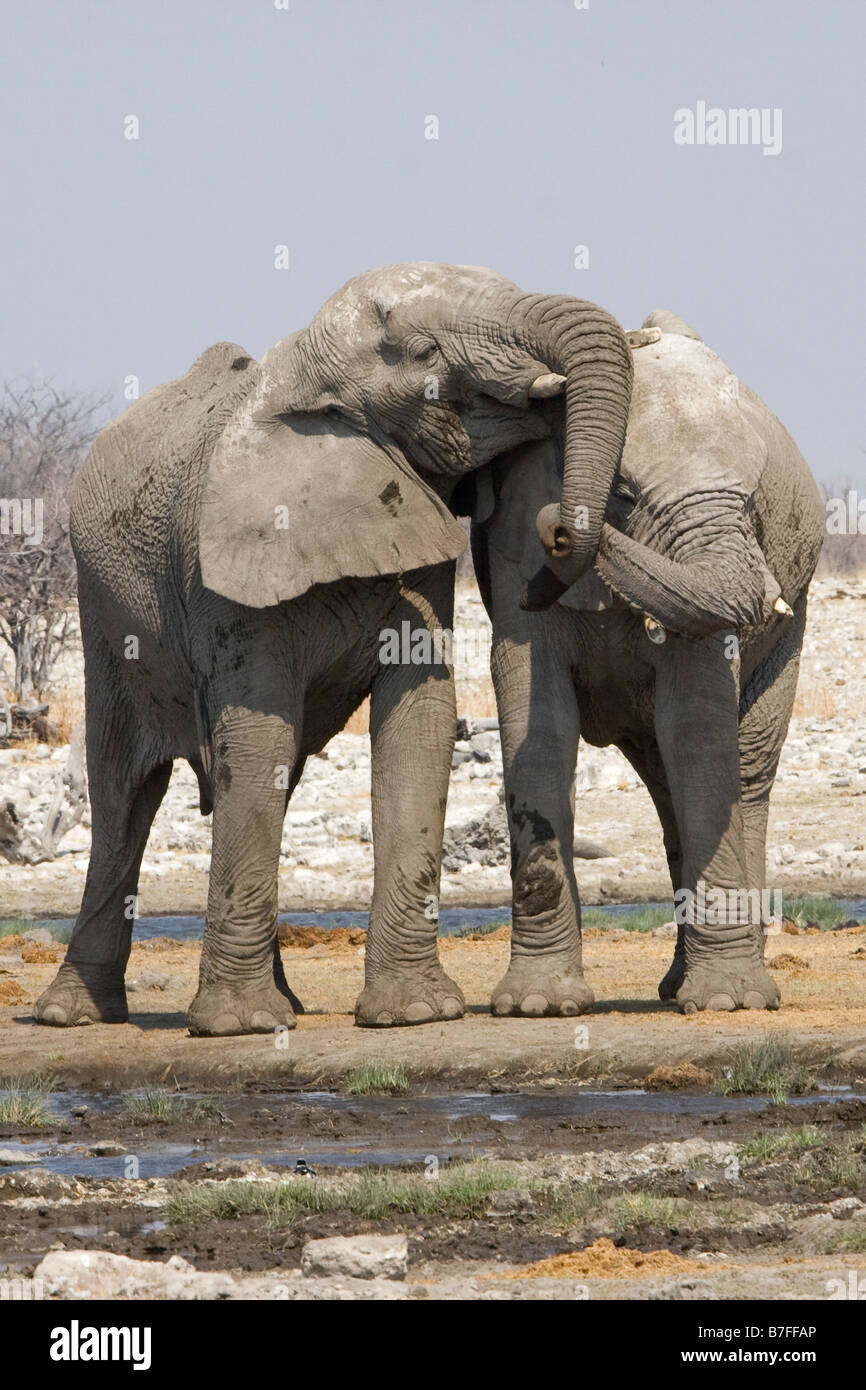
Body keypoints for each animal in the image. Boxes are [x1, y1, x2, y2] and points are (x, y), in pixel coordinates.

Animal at [34, 262, 633, 1034]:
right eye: (420, 353)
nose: (554, 532)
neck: (299, 377)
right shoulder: (227, 571)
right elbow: (254, 734)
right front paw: (239, 1029)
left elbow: (419, 720)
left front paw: (414, 1016)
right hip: (101, 617)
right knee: (122, 795)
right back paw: (74, 1016)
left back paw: (281, 1004)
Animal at [469, 309, 823, 1015]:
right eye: (626, 496)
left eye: (753, 504)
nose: (562, 526)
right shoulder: (513, 545)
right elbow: (538, 726)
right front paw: (538, 1006)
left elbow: (697, 727)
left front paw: (727, 1003)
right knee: (664, 787)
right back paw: (674, 986)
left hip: (795, 614)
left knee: (746, 768)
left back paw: (729, 986)